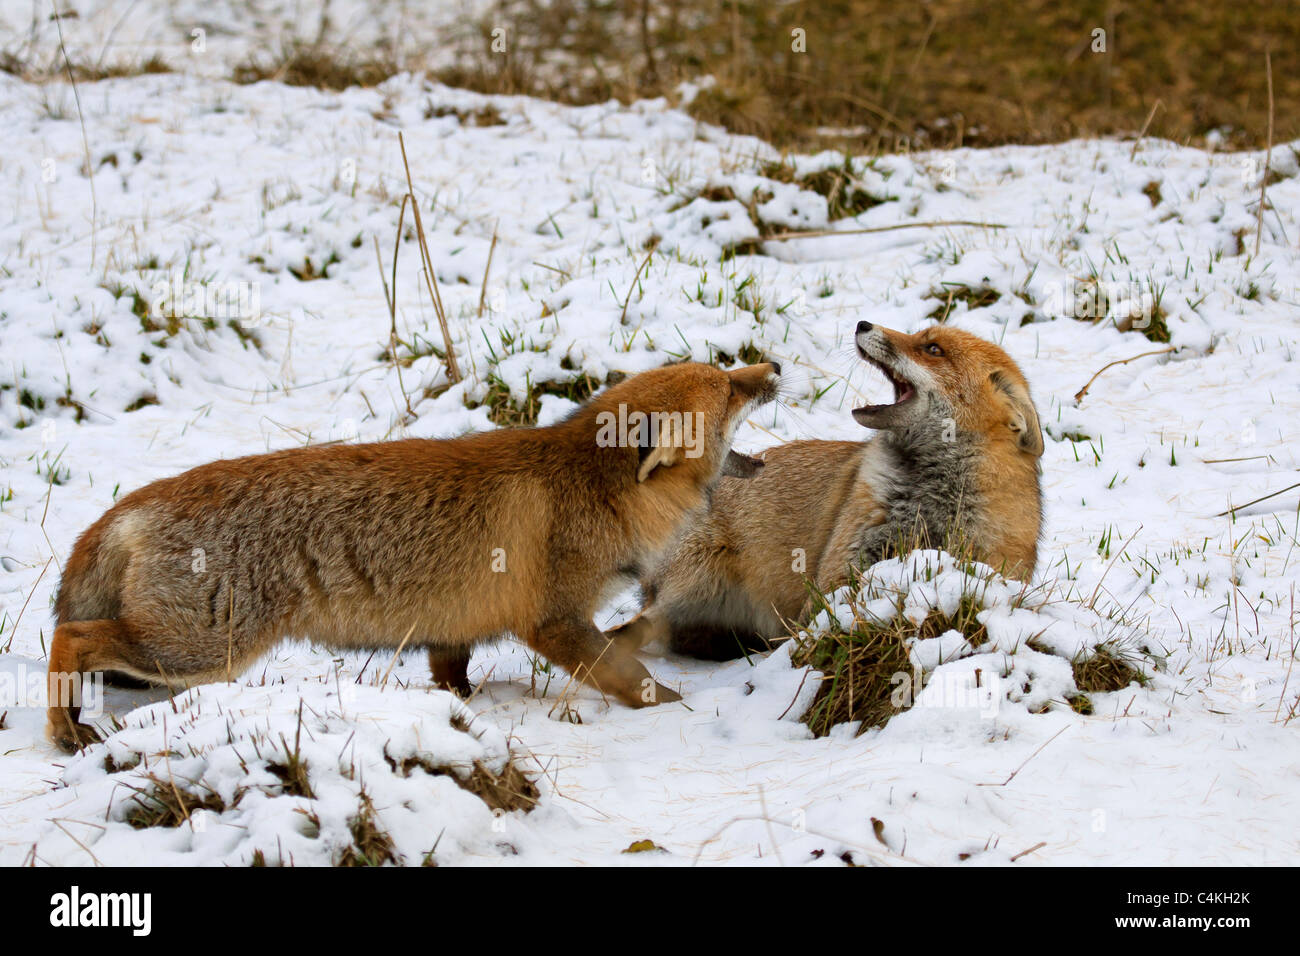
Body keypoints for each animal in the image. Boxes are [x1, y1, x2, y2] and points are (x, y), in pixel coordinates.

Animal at [46, 360, 781, 752]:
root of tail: (136, 502)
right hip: (198, 650)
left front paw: (462, 712)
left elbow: (451, 679)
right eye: (727, 389)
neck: (594, 492)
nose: (772, 366)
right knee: (71, 636)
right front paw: (677, 709)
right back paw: (63, 727)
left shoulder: (452, 626)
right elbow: (636, 679)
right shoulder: (554, 622)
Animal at [606, 322, 1043, 660]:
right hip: (694, 582)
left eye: (933, 349)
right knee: (639, 627)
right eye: (922, 336)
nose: (863, 324)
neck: (930, 502)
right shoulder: (841, 570)